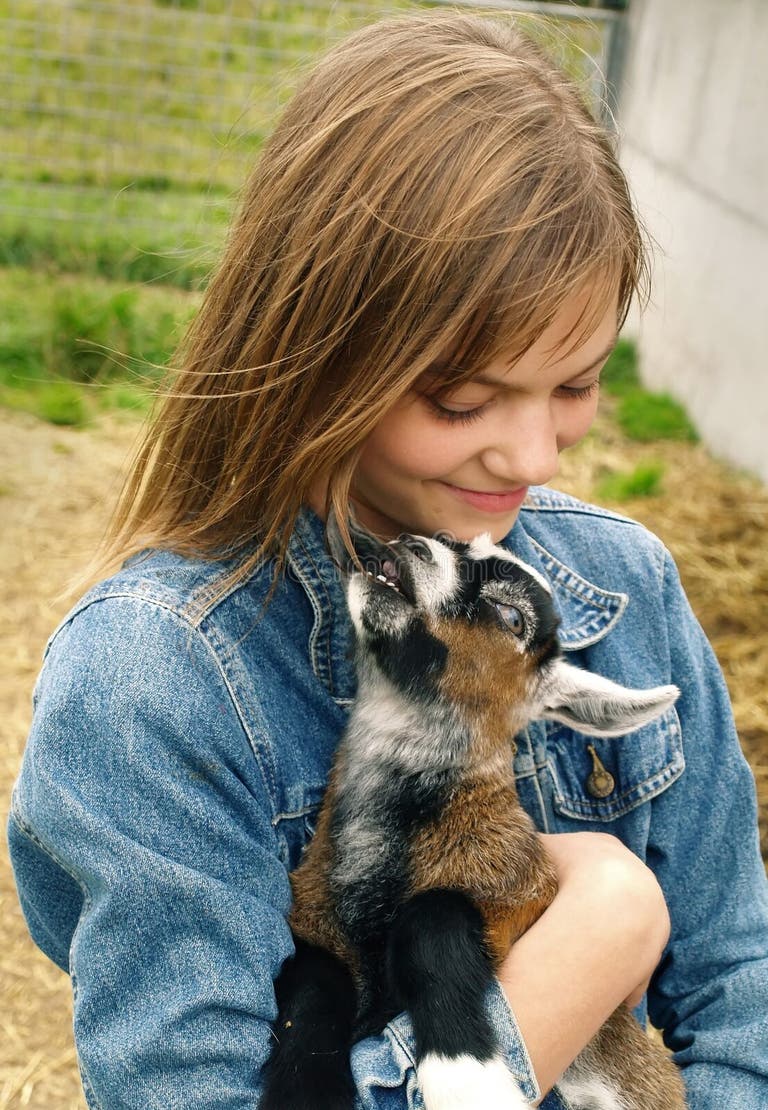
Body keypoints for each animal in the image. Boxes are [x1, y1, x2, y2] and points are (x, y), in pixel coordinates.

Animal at [262, 516, 687, 1110]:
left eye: (511, 617)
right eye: (446, 541)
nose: (412, 546)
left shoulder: (512, 890)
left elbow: (432, 923)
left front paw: (468, 1082)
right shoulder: (315, 915)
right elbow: (314, 986)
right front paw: (303, 1092)